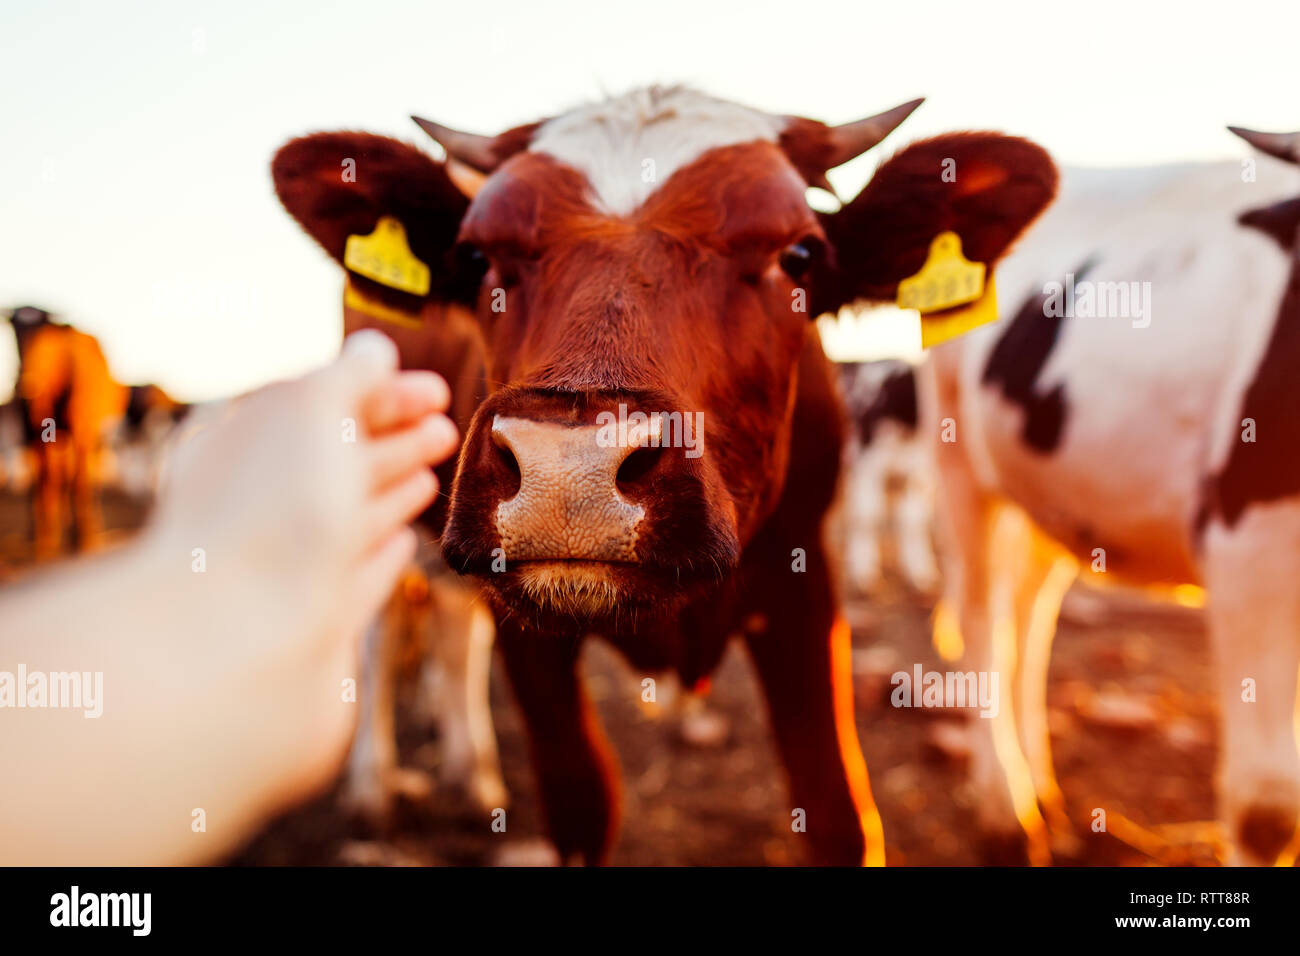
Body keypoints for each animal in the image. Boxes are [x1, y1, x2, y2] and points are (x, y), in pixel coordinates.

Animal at [920, 126, 1300, 865]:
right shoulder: (1251, 553)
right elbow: (1266, 813)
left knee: (1029, 616)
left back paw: (1041, 794)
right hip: (955, 456)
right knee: (982, 618)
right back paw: (1004, 813)